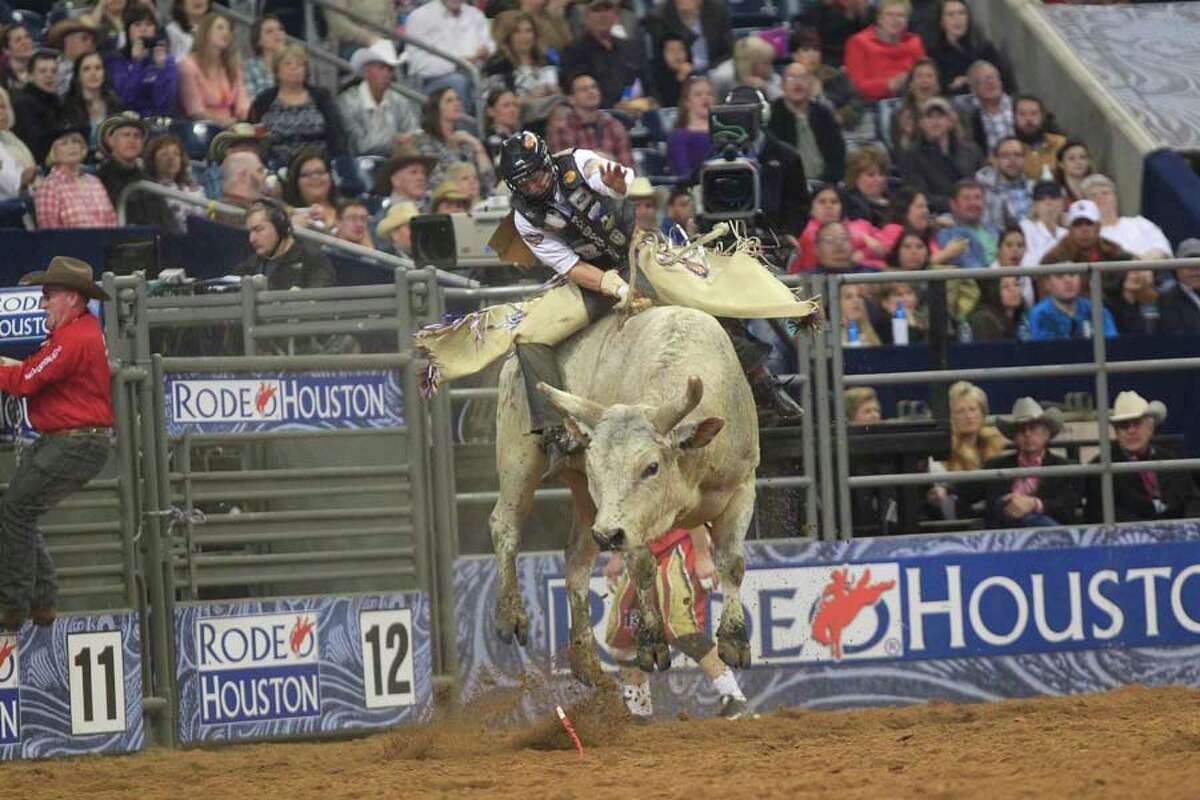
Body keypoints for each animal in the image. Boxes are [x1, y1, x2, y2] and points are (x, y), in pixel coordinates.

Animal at [489, 304, 759, 686]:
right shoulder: (628, 522)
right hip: (520, 458)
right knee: (505, 526)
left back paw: (586, 660)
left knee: (577, 558)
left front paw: (735, 641)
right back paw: (510, 616)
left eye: (651, 467)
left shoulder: (742, 486)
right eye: (597, 469)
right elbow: (643, 566)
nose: (607, 536)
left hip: (587, 502)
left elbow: (731, 563)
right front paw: (652, 644)